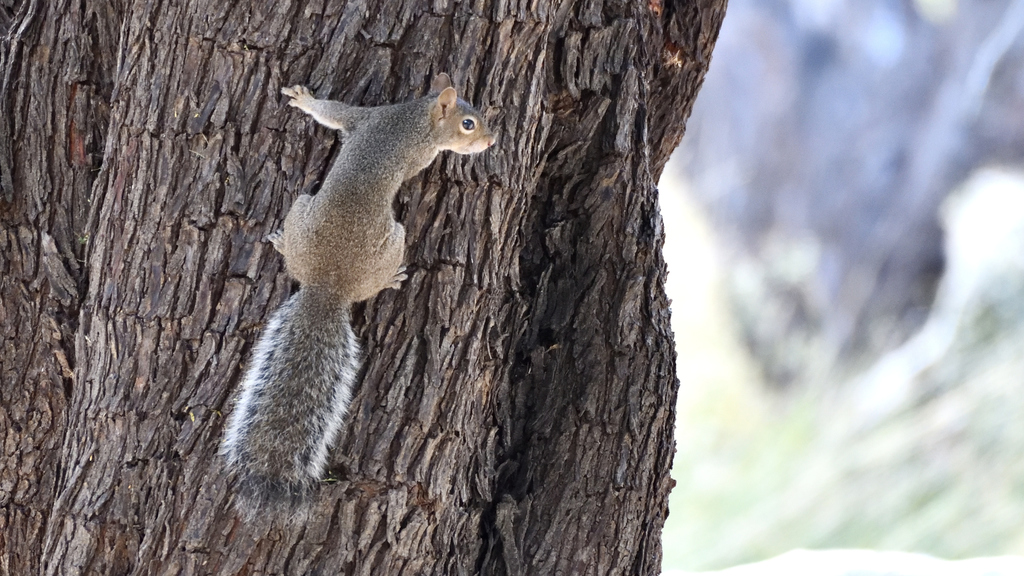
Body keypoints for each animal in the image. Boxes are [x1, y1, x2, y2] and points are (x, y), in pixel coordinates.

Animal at [221, 73, 495, 518]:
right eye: (469, 124)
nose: (491, 141)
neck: (413, 117)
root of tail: (329, 286)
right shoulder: (393, 136)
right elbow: (335, 112)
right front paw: (306, 100)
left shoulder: (367, 120)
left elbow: (335, 114)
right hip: (383, 232)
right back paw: (387, 278)